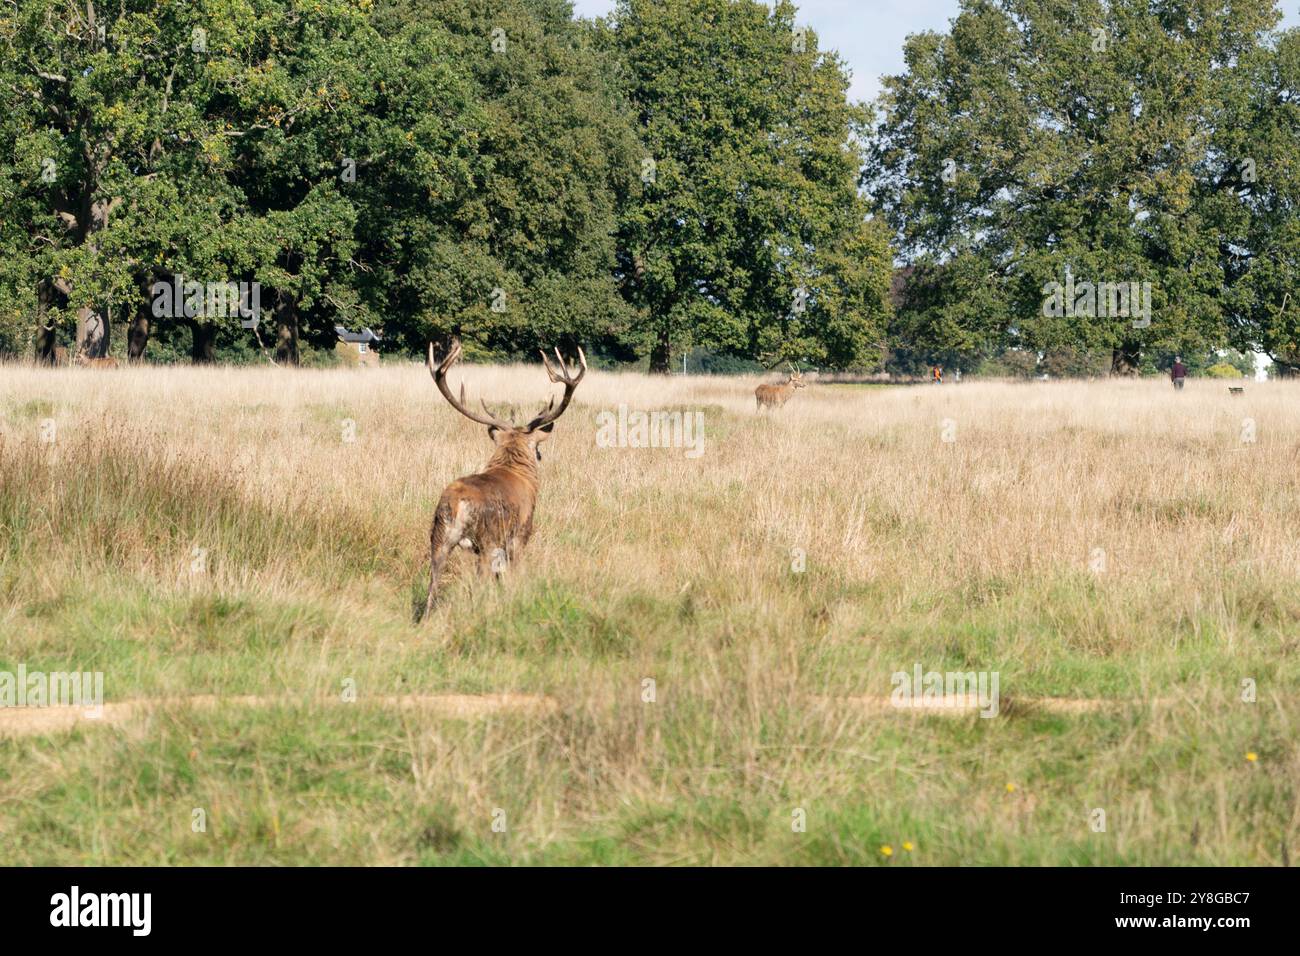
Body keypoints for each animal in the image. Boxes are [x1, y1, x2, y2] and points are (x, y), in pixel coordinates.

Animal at [421, 338, 586, 618]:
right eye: (537, 450)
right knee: (481, 581)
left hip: (439, 536)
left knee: (432, 585)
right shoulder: (521, 533)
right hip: (488, 539)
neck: (513, 466)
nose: (540, 456)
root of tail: (454, 504)